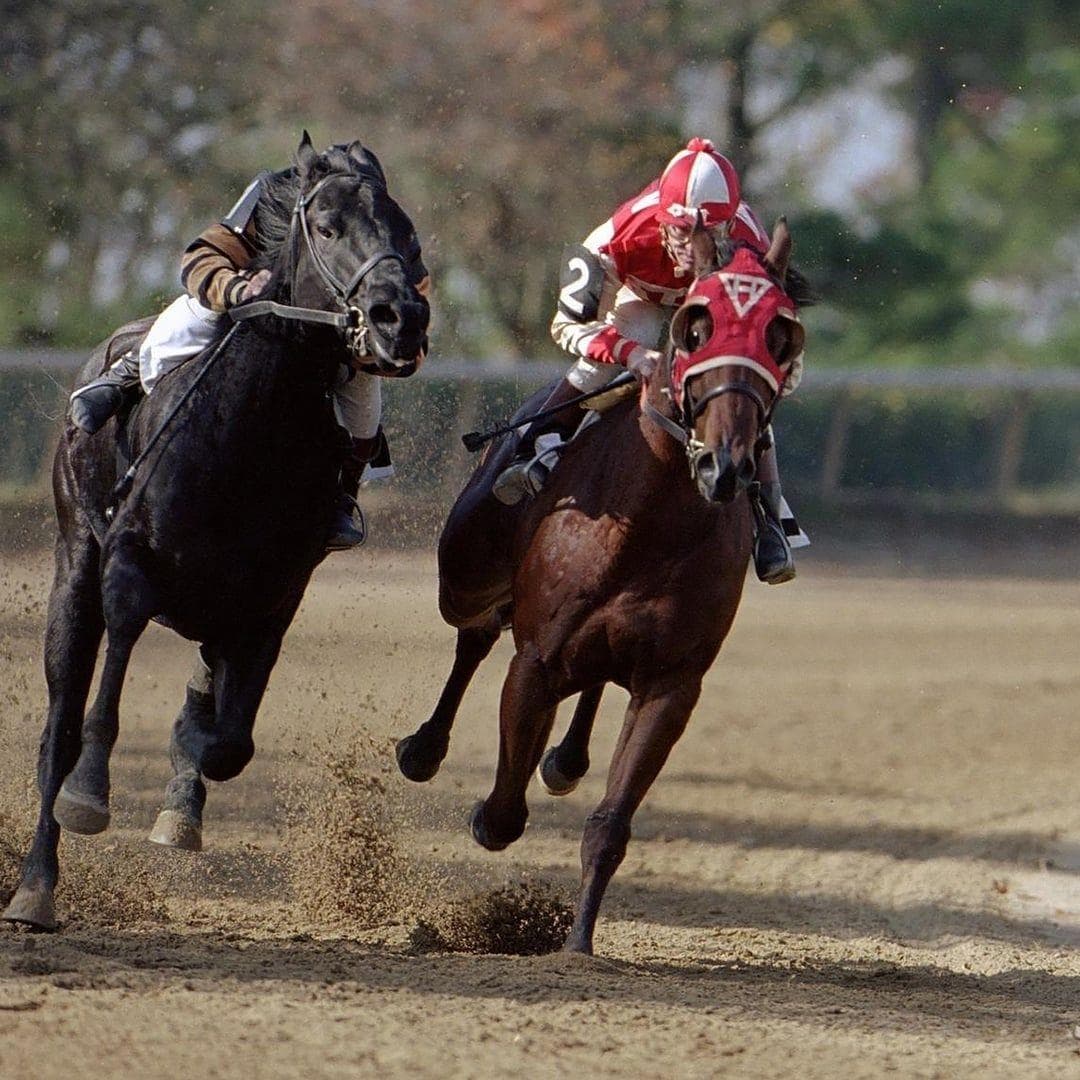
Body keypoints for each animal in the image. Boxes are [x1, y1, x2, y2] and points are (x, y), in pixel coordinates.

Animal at [3, 134, 430, 930]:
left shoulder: (273, 598)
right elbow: (105, 688)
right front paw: (90, 794)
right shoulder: (128, 561)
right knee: (59, 727)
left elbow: (226, 741)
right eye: (327, 227)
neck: (249, 437)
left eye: (408, 234)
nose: (400, 318)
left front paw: (182, 792)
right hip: (73, 561)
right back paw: (35, 887)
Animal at [396, 219, 807, 954]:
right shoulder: (535, 660)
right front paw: (484, 815)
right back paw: (424, 748)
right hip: (465, 574)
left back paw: (564, 758)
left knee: (585, 686)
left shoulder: (672, 684)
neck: (649, 522)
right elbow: (502, 815)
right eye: (697, 327)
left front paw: (578, 943)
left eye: (779, 336)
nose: (726, 465)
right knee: (475, 635)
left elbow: (610, 825)